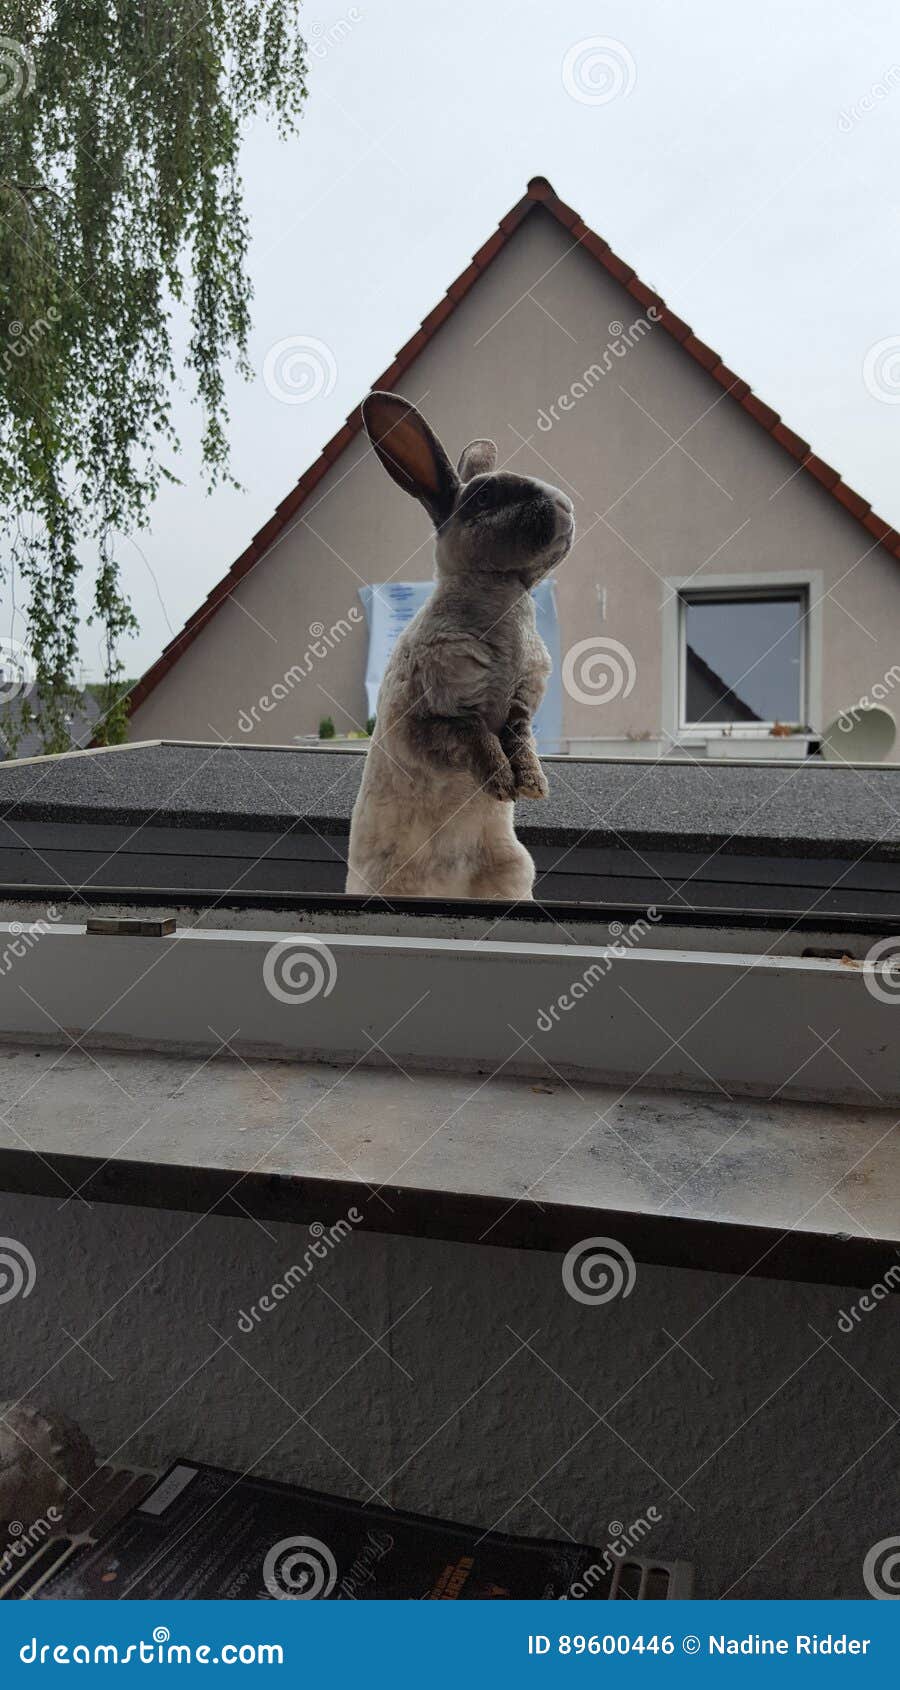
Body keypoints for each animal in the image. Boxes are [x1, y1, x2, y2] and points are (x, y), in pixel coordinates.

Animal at [345, 391, 575, 901]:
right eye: (484, 496)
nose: (565, 506)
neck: (501, 593)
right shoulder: (430, 720)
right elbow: (474, 737)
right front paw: (502, 783)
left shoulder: (519, 707)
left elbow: (520, 741)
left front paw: (531, 785)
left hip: (513, 870)